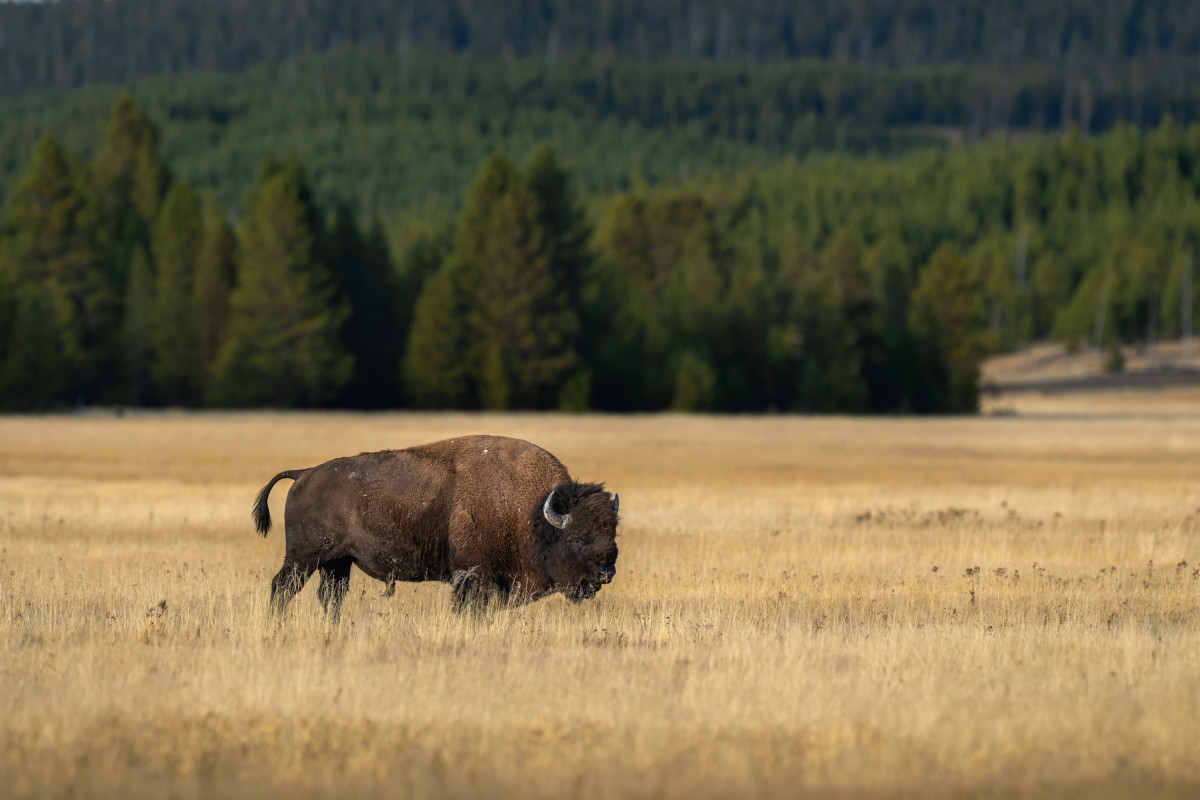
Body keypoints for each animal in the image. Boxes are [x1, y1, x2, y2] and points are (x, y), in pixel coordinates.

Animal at [252, 434, 620, 616]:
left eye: (612, 535)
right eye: (577, 538)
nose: (606, 574)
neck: (531, 515)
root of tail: (304, 473)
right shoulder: (473, 577)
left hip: (337, 562)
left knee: (330, 596)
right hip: (304, 558)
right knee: (282, 587)